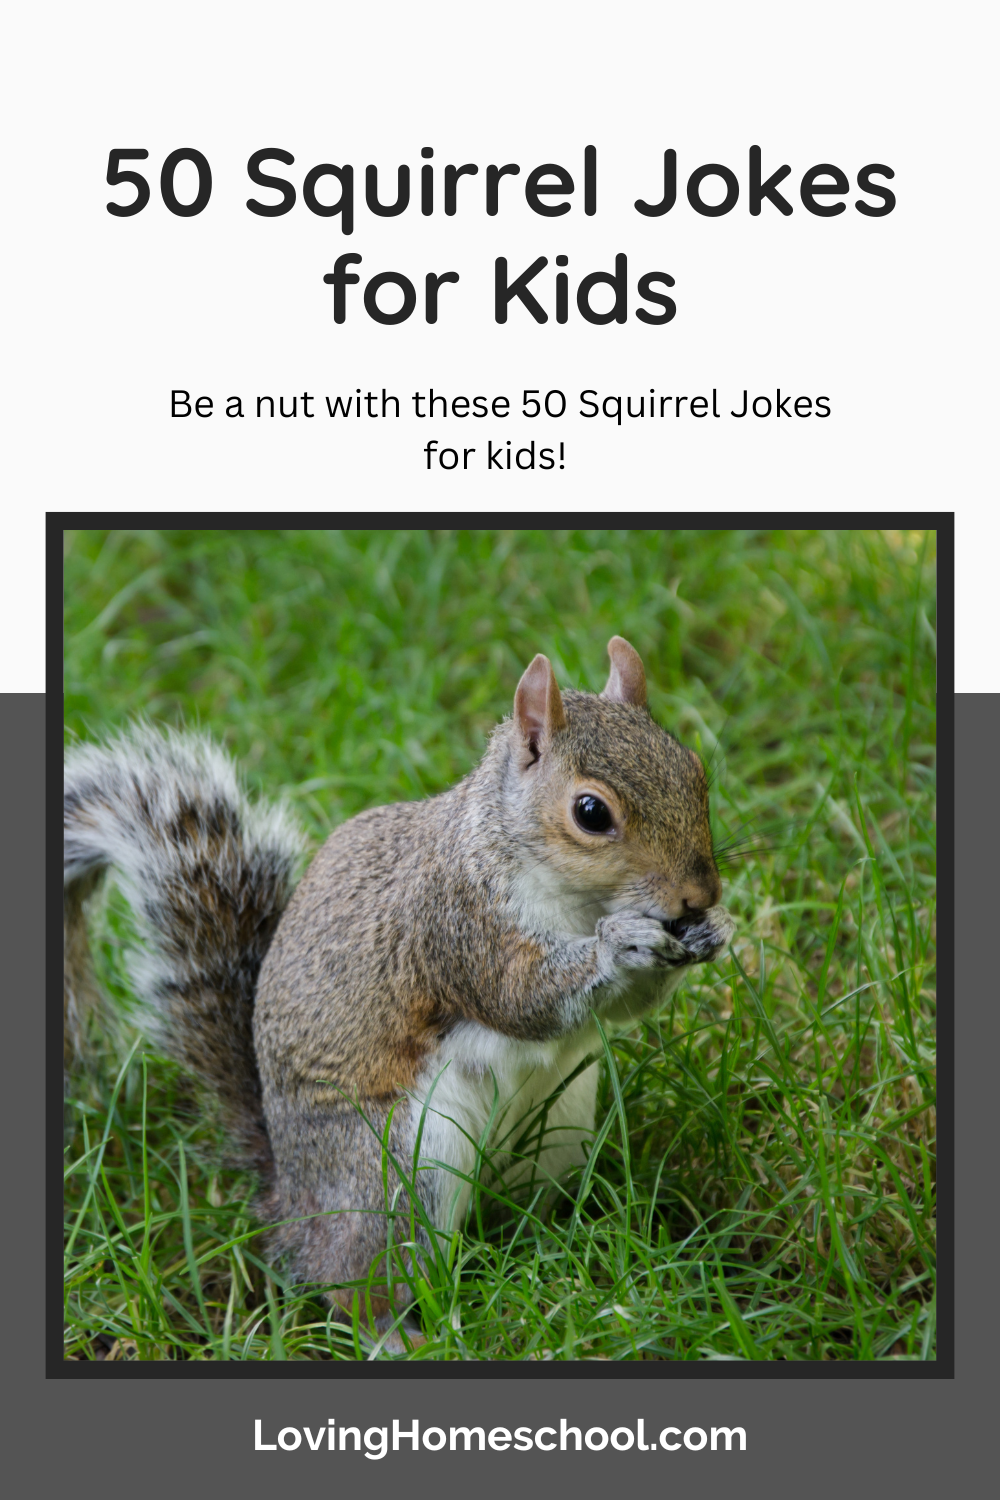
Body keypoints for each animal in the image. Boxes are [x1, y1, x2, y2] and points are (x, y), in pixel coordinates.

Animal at [64, 636, 735, 1351]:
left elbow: (629, 1008)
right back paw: (405, 1334)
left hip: (556, 1136)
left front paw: (716, 929)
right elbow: (523, 998)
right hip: (400, 1175)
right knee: (359, 1284)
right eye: (591, 812)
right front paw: (620, 943)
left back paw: (560, 1259)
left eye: (694, 769)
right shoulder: (458, 928)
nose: (699, 895)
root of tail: (292, 1210)